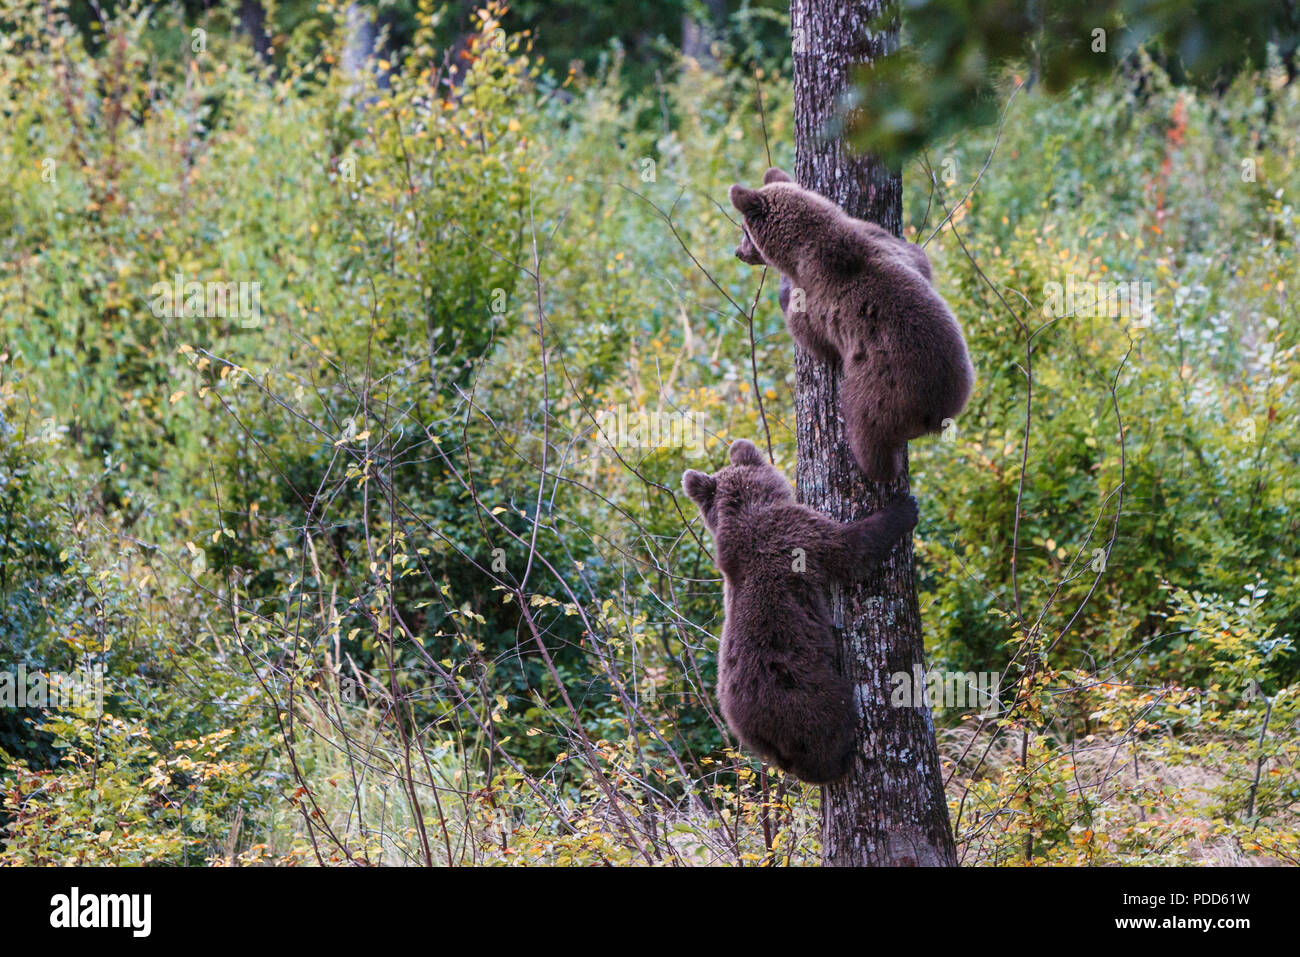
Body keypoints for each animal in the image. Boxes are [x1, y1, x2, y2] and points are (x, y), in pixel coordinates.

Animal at [682, 438, 918, 784]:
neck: (744, 511)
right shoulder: (795, 534)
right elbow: (849, 549)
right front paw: (905, 507)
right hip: (803, 694)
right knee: (830, 719)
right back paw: (838, 759)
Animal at [730, 166, 973, 482]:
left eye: (744, 231)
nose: (738, 252)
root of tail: (938, 413)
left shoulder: (815, 301)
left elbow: (810, 336)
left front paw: (783, 290)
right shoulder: (887, 243)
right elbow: (918, 257)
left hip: (880, 390)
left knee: (866, 427)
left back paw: (873, 465)